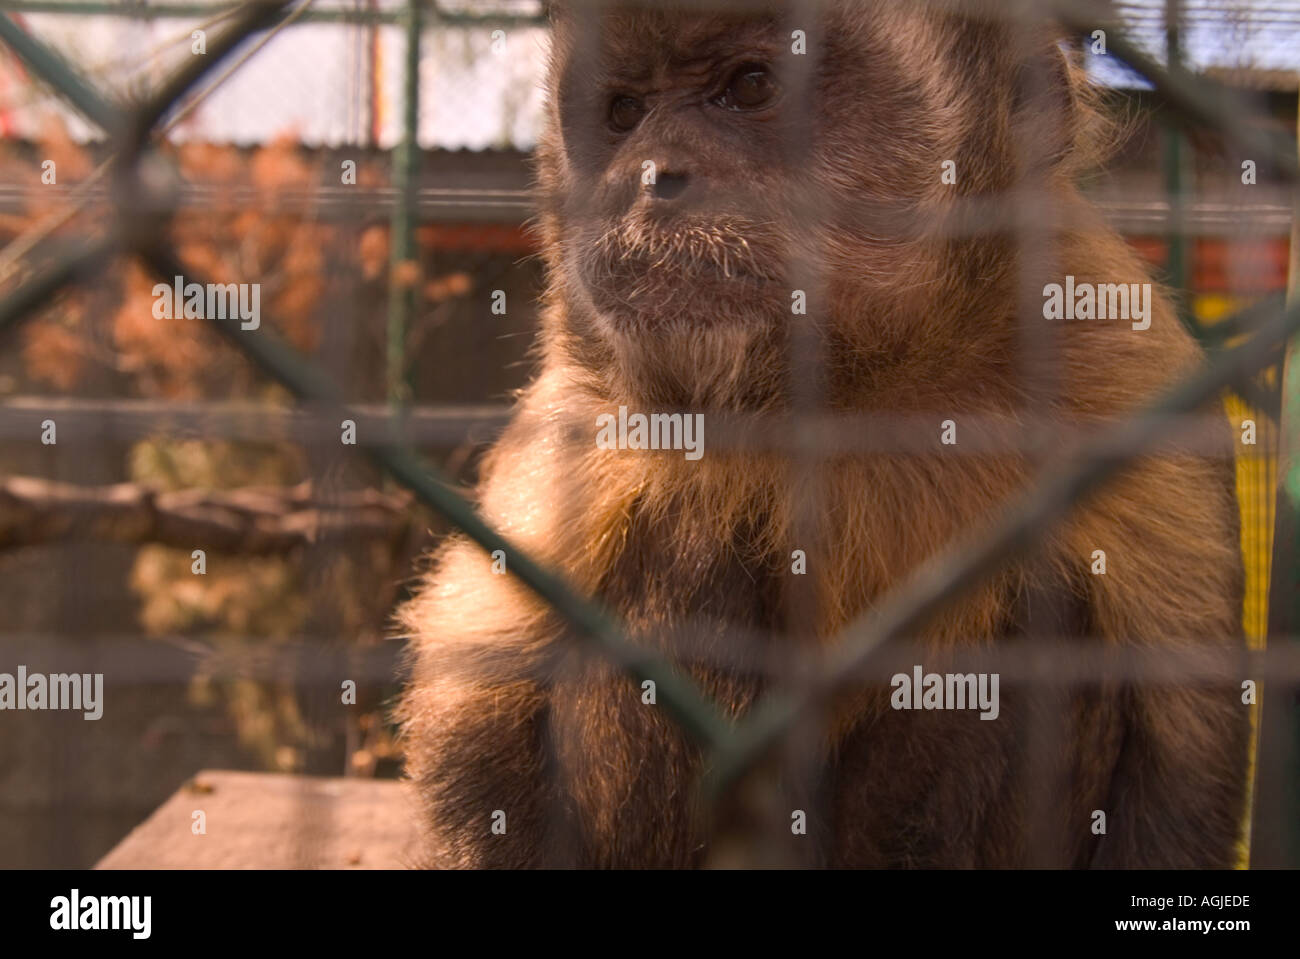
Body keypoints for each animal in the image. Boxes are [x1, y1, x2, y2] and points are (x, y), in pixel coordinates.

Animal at [396, 0, 1249, 868]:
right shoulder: (583, 402)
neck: (850, 388)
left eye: (749, 87)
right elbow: (479, 690)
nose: (648, 174)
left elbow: (1187, 753)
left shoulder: (1118, 360)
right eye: (625, 113)